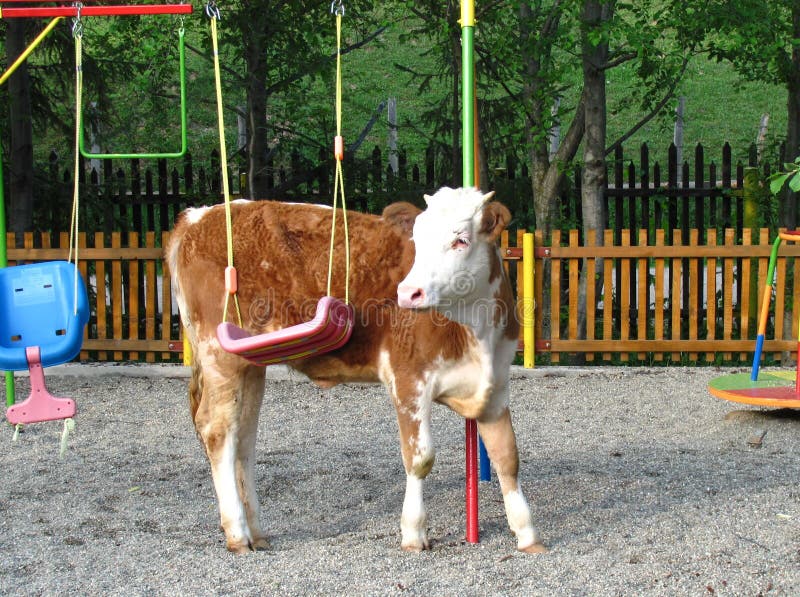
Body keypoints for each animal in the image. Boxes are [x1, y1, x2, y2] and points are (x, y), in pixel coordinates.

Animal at [165, 186, 546, 554]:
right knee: (218, 432)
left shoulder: (496, 385)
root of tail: (198, 217)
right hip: (219, 356)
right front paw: (413, 532)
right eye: (417, 239)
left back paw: (256, 532)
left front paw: (527, 534)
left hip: (249, 364)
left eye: (461, 240)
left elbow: (507, 457)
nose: (409, 292)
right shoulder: (408, 380)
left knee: (243, 439)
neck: (476, 333)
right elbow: (420, 458)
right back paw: (237, 533)